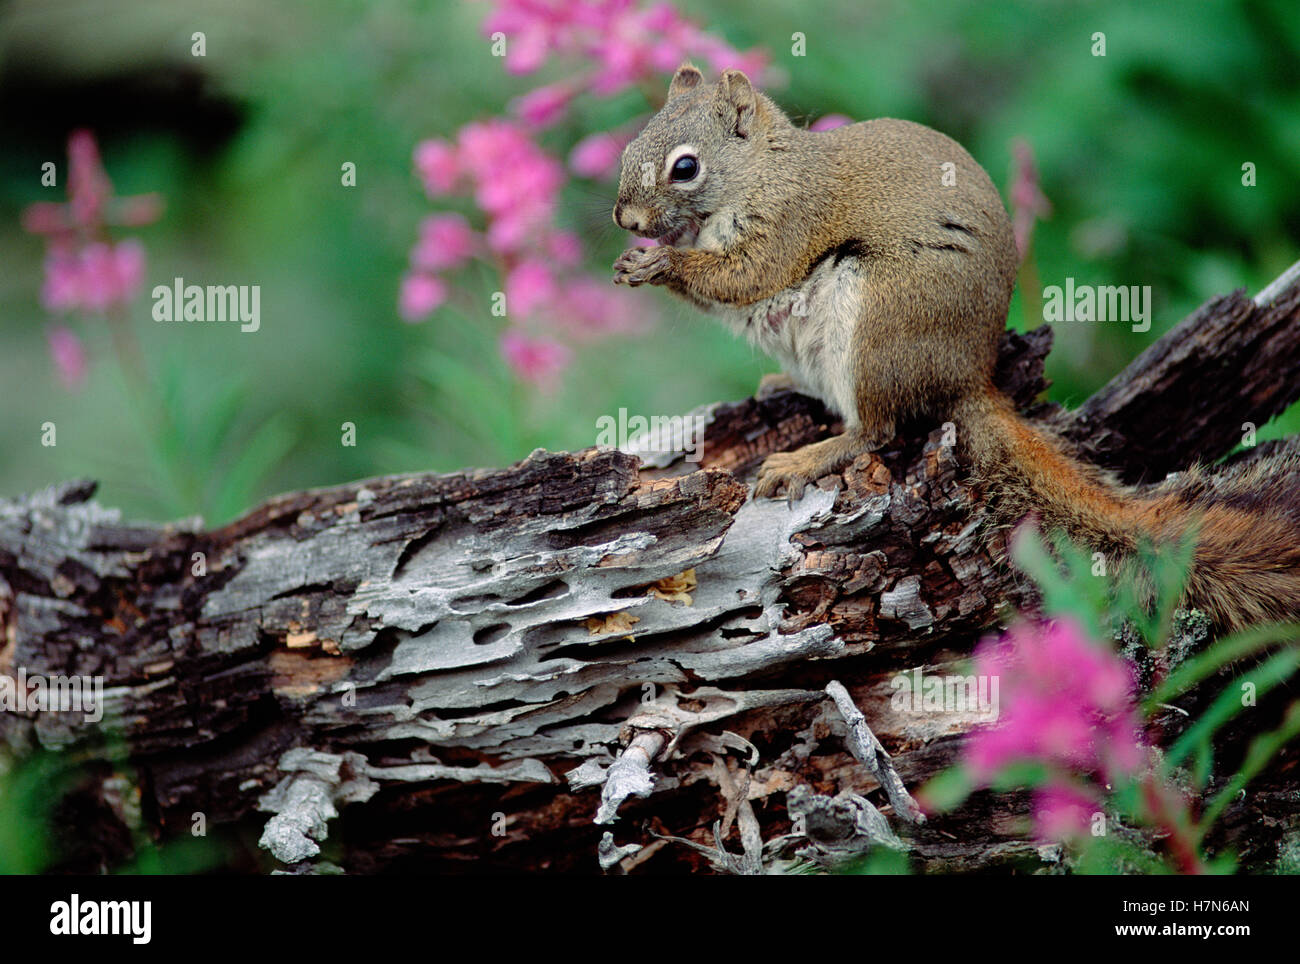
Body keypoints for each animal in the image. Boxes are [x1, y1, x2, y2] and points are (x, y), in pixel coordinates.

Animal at [611, 63, 1300, 632]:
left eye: (685, 167)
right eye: (629, 147)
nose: (626, 221)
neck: (761, 172)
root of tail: (968, 374)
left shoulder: (789, 220)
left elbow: (745, 274)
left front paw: (662, 263)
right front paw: (637, 261)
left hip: (877, 322)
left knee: (878, 429)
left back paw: (808, 456)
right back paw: (783, 385)